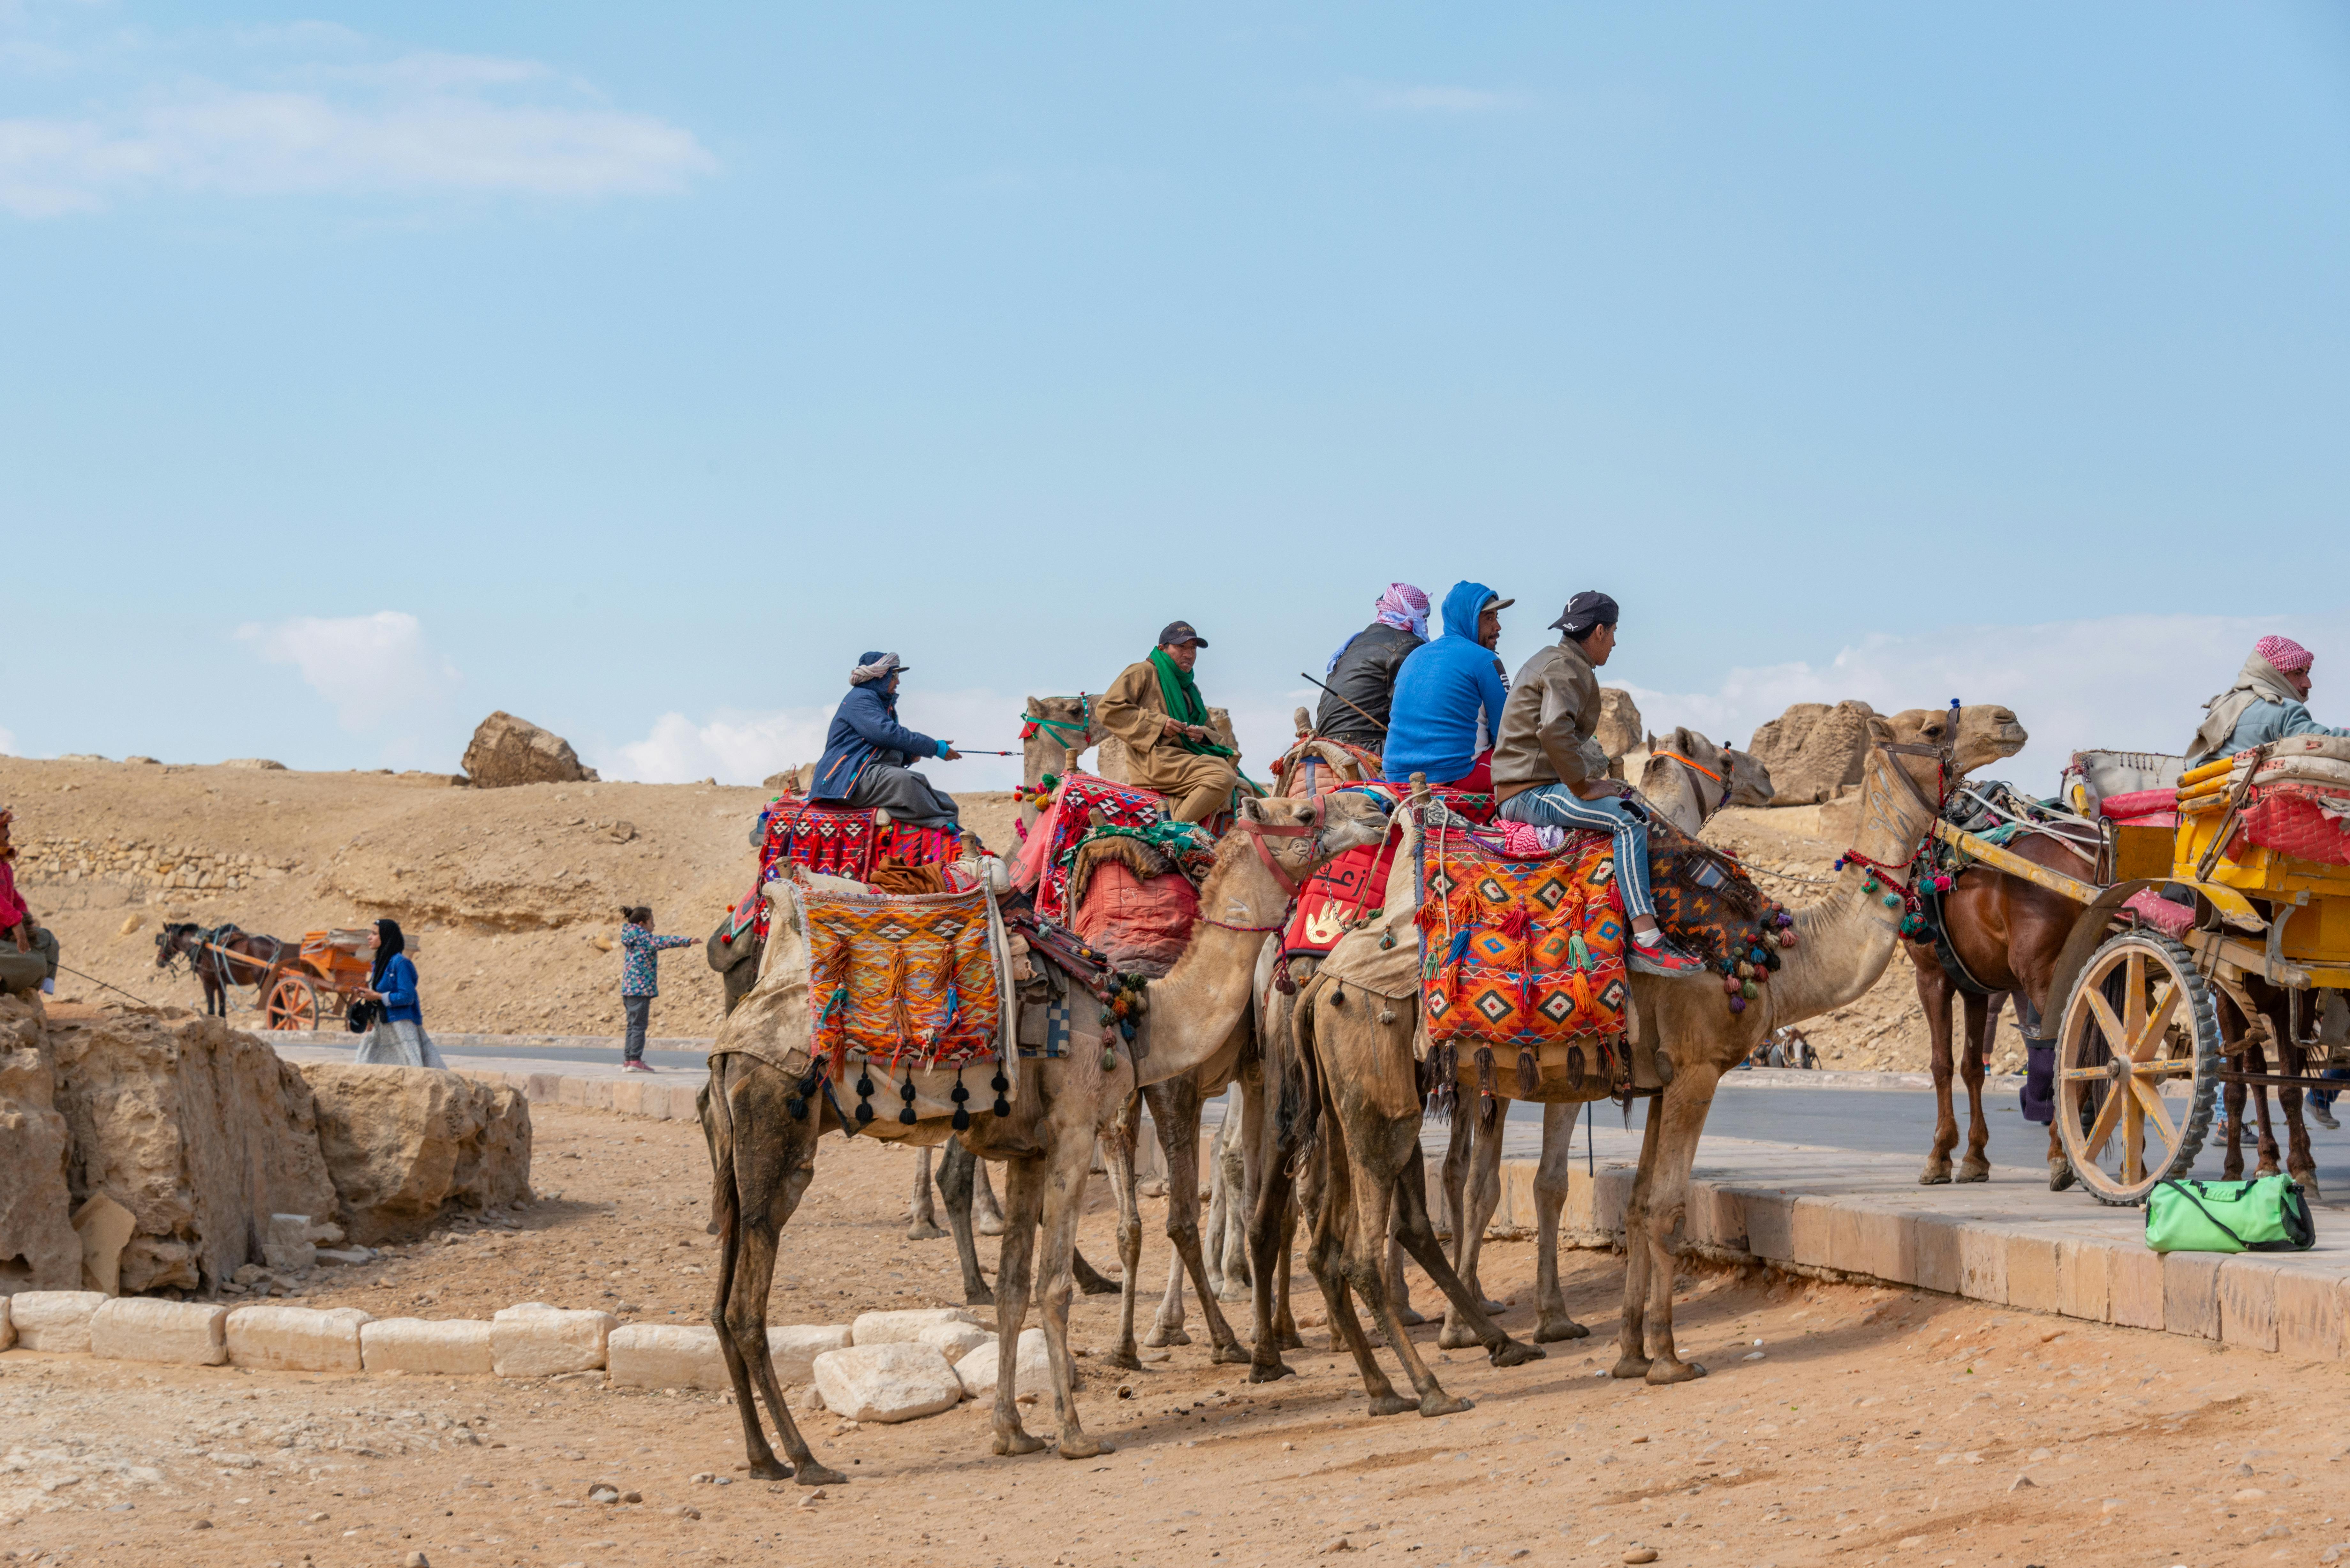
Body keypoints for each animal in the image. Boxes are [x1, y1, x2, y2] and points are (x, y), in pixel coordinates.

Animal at [703, 789, 1387, 1476]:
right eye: (1305, 813)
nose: (1378, 810)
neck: (1143, 1015)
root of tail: (732, 1037)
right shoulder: (1074, 1133)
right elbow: (1054, 1286)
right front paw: (1075, 1432)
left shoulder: (1027, 1153)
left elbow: (1014, 1290)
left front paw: (1012, 1432)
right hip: (775, 1128)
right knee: (746, 1307)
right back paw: (803, 1458)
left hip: (735, 1154)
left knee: (721, 1303)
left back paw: (763, 1456)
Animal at [1284, 705, 2026, 1408]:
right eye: (1928, 727)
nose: (2008, 721)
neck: (1775, 956)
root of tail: (1323, 982)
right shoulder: (1697, 1070)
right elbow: (1668, 1207)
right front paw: (1669, 1359)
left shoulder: (1660, 1082)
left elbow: (1641, 1205)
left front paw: (1630, 1354)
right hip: (1383, 1098)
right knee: (1364, 1246)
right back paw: (1433, 1389)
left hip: (1345, 1103)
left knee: (1330, 1236)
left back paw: (1386, 1386)